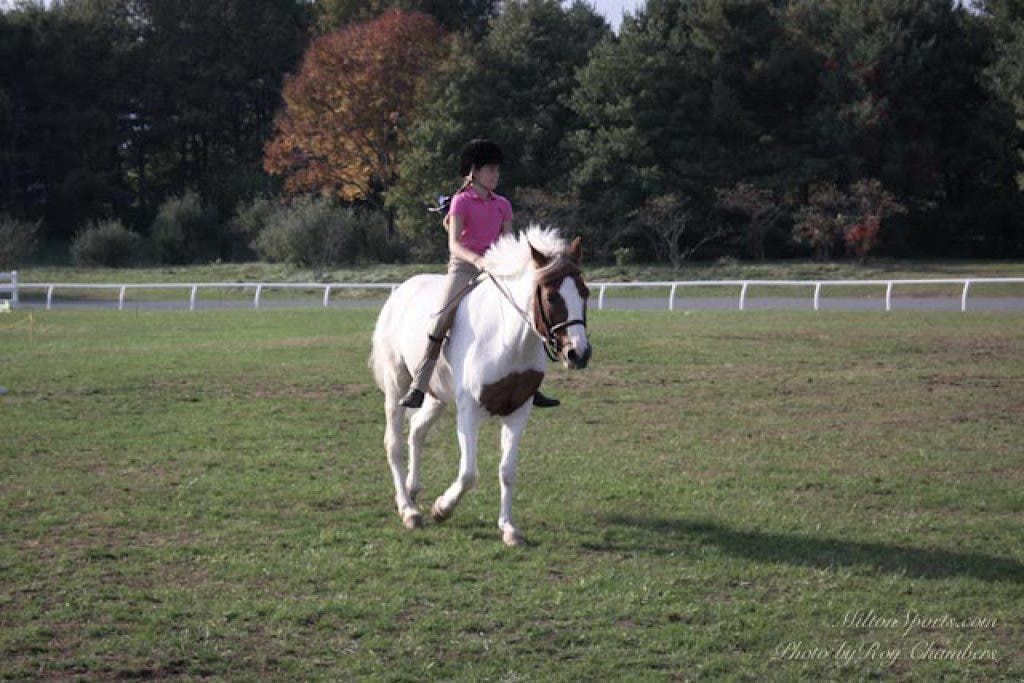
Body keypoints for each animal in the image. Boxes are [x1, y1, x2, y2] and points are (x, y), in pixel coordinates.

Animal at [369, 226, 592, 546]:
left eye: (585, 293)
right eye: (551, 297)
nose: (579, 353)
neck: (509, 341)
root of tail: (400, 291)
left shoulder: (518, 411)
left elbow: (507, 471)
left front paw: (508, 528)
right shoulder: (470, 412)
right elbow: (469, 473)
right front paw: (442, 508)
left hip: (436, 396)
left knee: (417, 432)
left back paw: (412, 492)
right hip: (396, 387)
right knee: (394, 443)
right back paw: (408, 509)